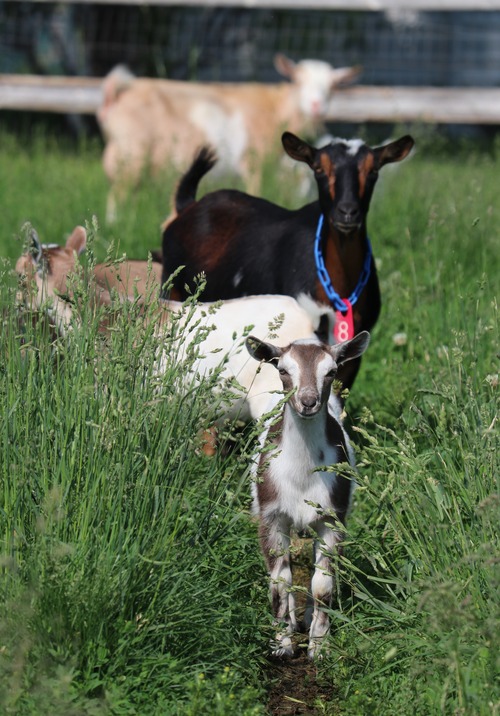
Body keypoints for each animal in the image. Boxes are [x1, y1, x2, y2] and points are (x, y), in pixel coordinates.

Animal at [97, 55, 361, 222]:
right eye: (297, 80)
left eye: (334, 86)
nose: (317, 105)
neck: (276, 110)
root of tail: (118, 94)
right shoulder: (254, 164)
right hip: (129, 156)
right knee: (117, 196)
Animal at [246, 330, 370, 659]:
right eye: (282, 369)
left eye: (331, 371)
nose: (308, 401)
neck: (301, 474)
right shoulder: (271, 515)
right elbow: (280, 580)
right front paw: (281, 644)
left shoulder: (332, 517)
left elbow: (322, 584)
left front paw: (319, 646)